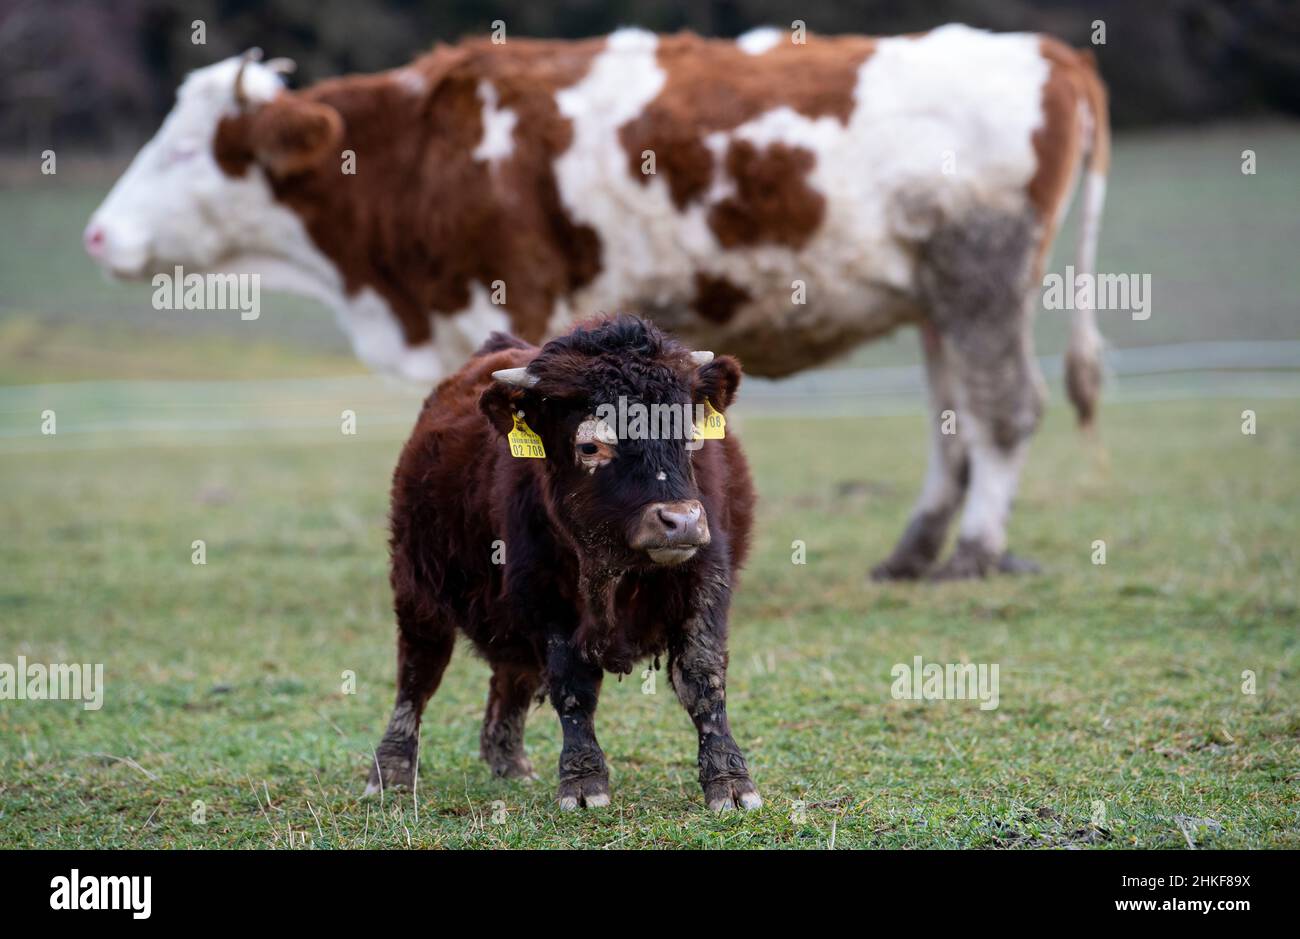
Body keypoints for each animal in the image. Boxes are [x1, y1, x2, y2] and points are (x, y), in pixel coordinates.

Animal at [85, 25, 1110, 579]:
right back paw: (913, 551)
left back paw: (974, 551)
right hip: (938, 299)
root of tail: (1047, 50)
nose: (97, 234)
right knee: (952, 419)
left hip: (981, 276)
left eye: (188, 150)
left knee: (1004, 410)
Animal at [367, 315, 760, 811]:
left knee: (511, 677)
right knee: (418, 673)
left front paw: (730, 781)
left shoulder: (704, 579)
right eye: (590, 447)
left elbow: (702, 676)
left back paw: (508, 761)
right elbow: (573, 686)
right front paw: (584, 781)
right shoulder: (546, 597)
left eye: (690, 437)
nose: (681, 521)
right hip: (417, 588)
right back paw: (392, 771)